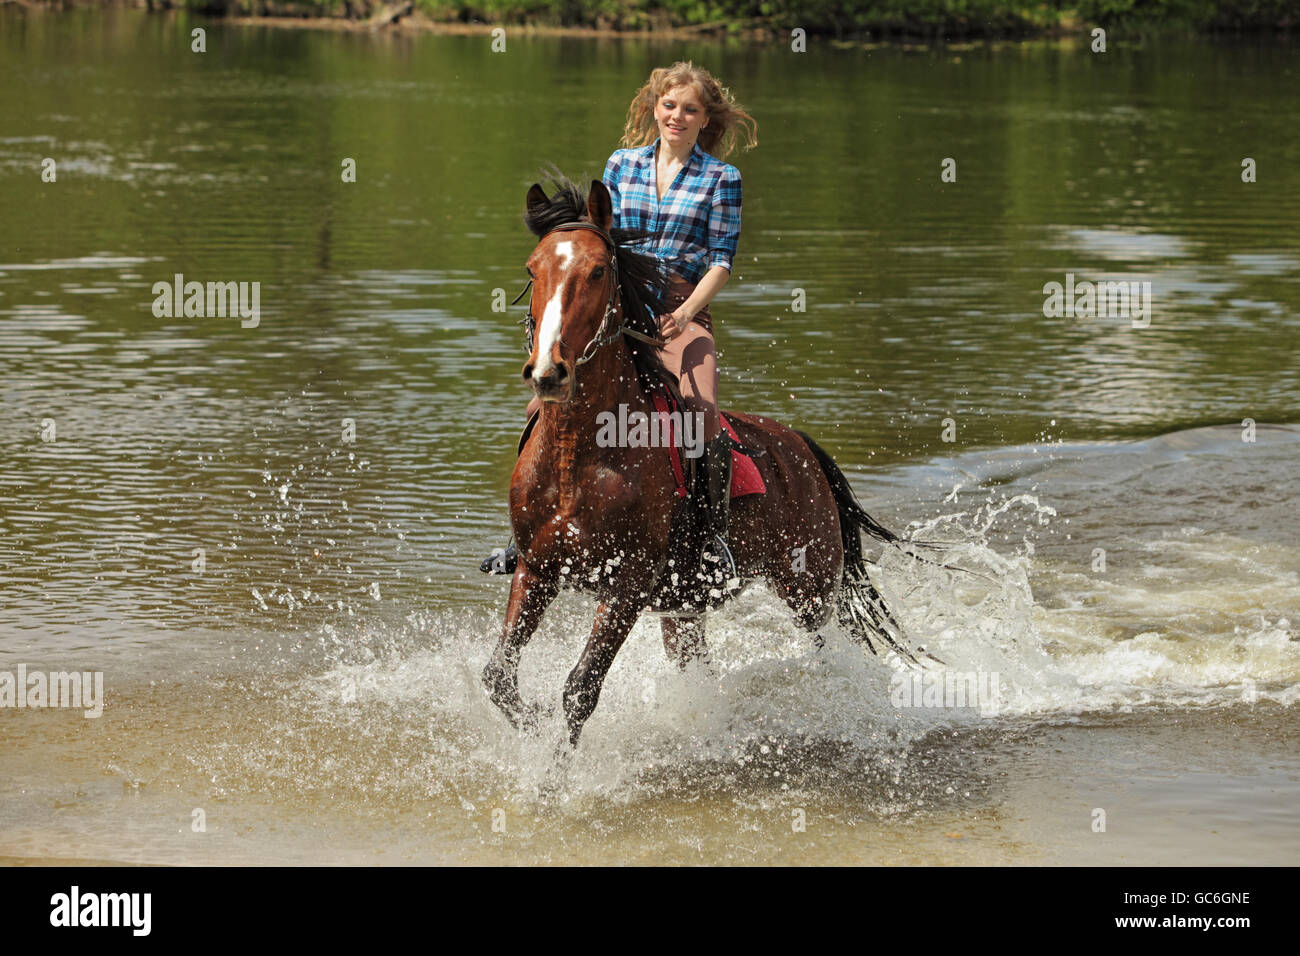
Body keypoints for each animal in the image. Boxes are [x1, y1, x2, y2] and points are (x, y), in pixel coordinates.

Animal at [482, 171, 921, 748]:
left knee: (834, 655)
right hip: (687, 608)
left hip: (808, 589)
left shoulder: (628, 584)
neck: (581, 454)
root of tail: (802, 447)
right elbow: (499, 675)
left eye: (597, 271)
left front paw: (554, 769)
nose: (547, 372)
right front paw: (531, 727)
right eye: (532, 270)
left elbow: (580, 688)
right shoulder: (536, 569)